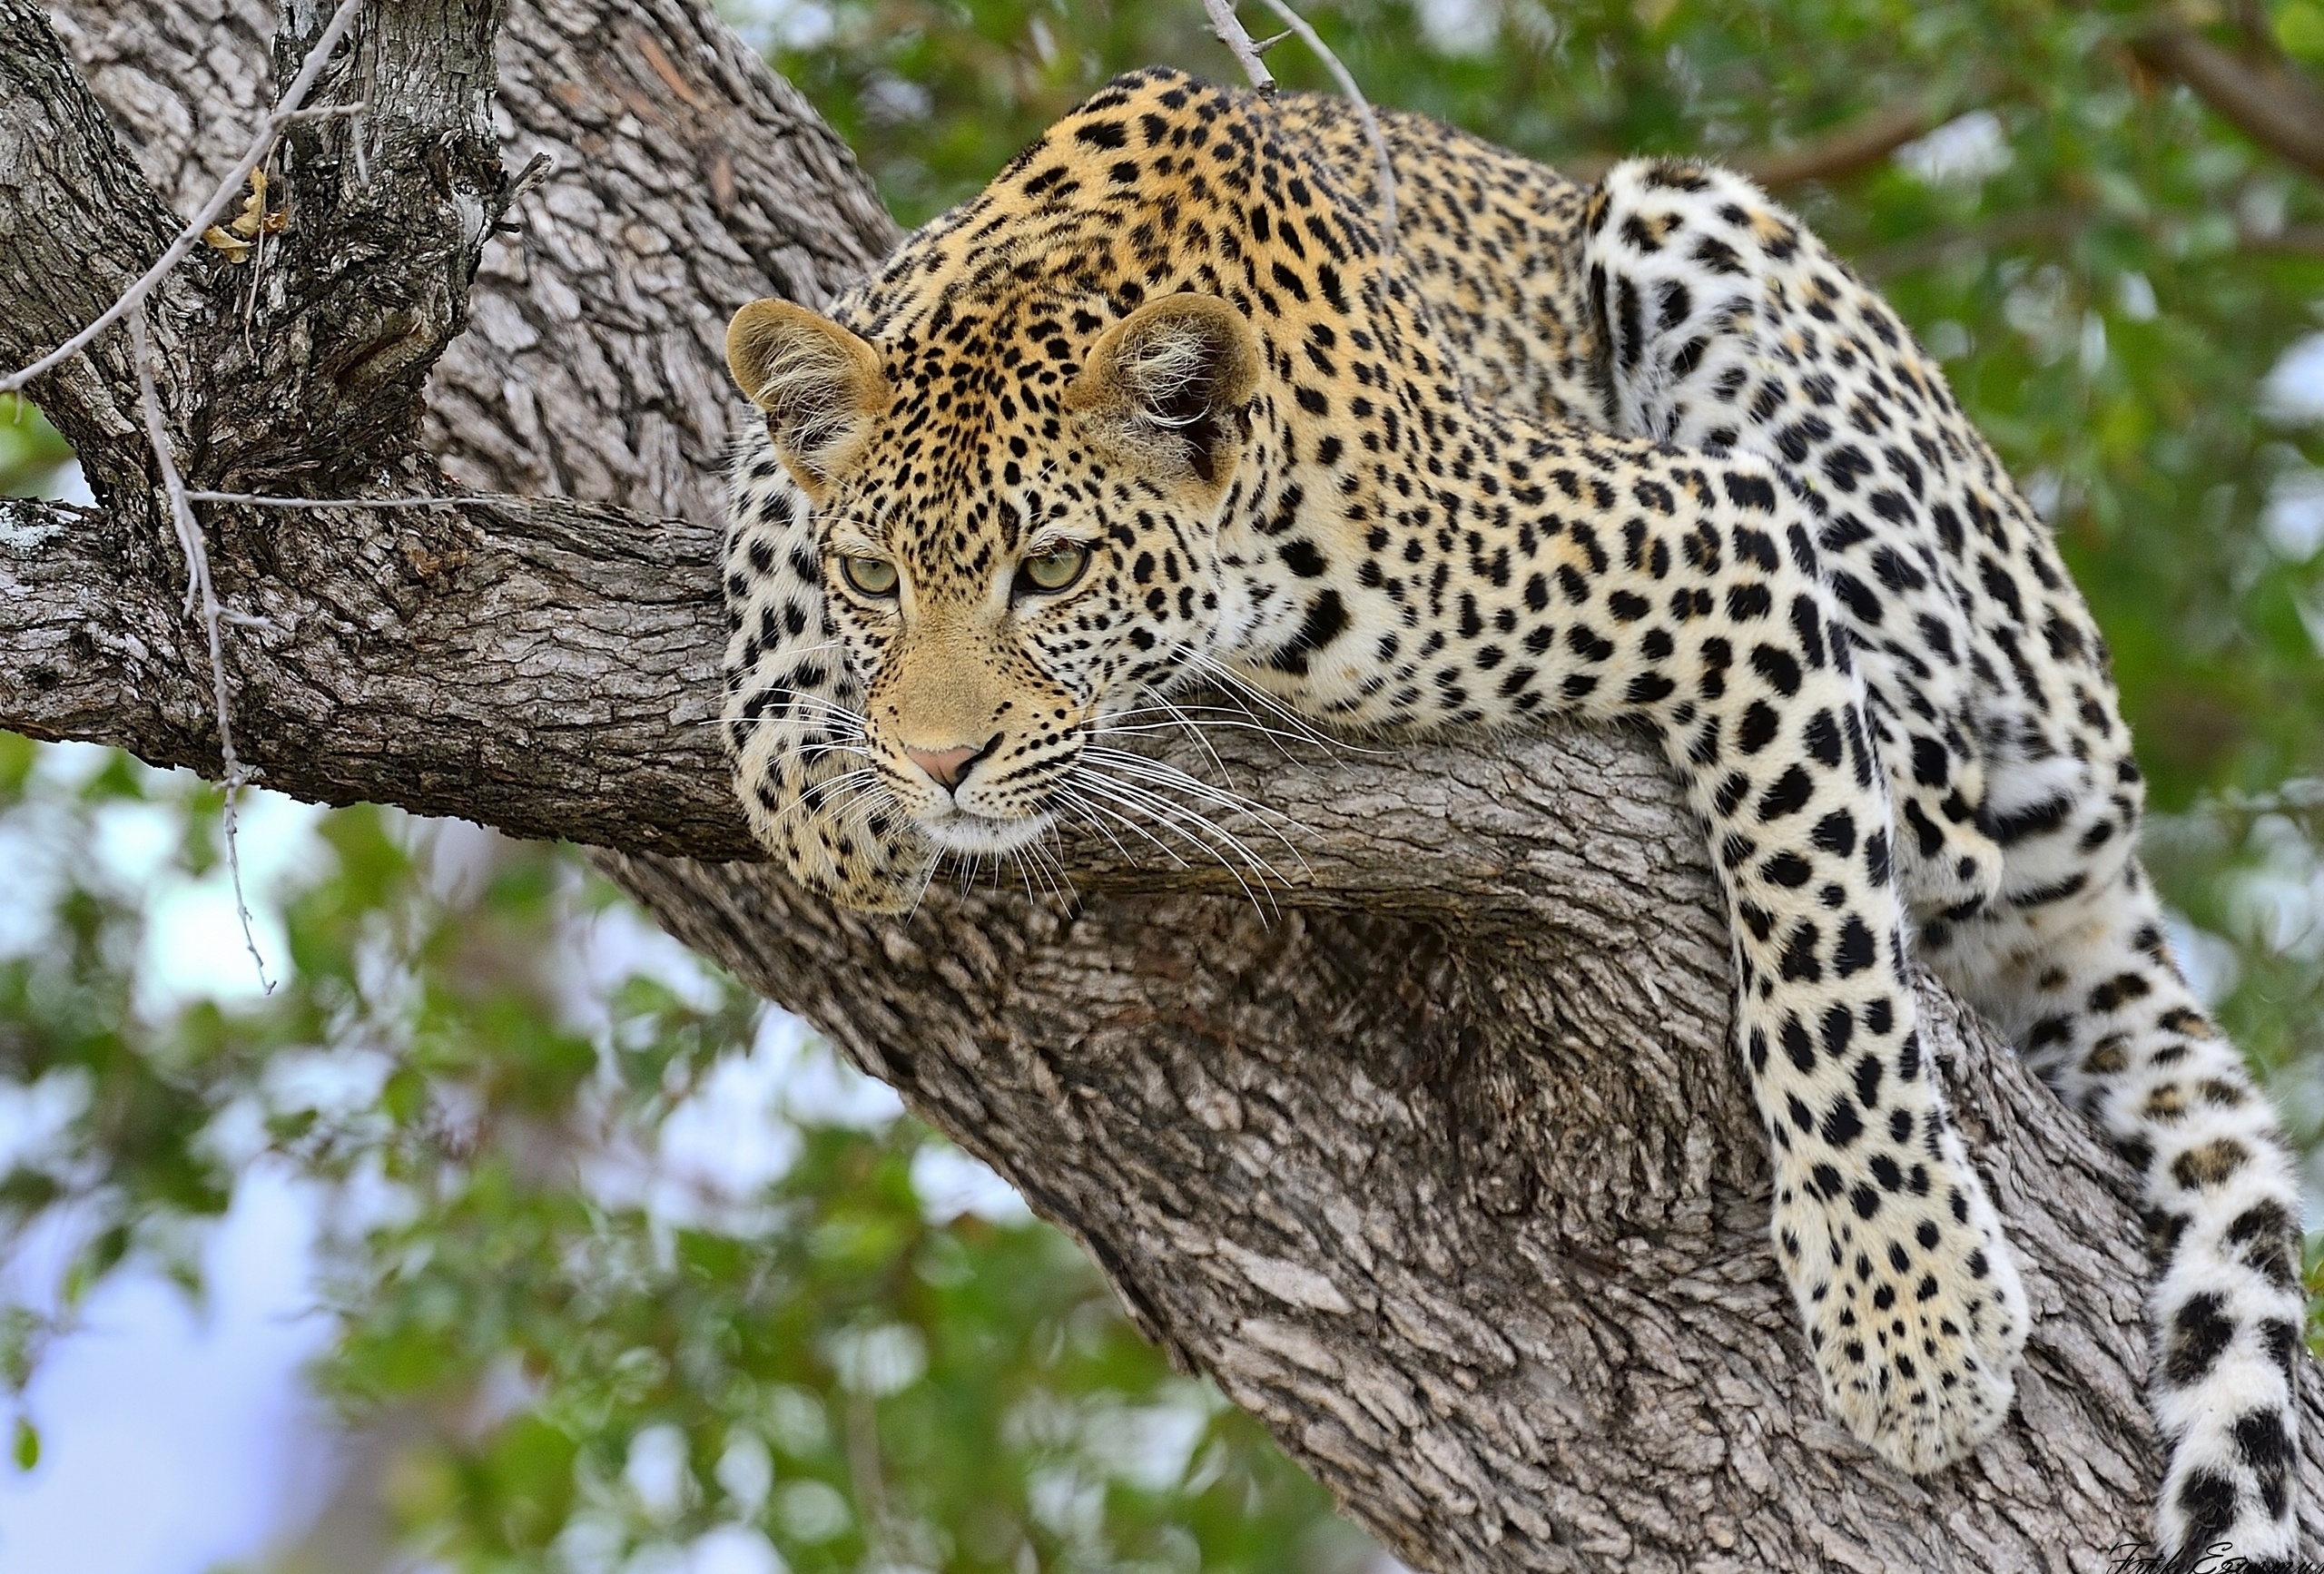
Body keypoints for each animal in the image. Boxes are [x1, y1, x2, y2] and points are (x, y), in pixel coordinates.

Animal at [715, 67, 2306, 1568]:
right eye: (875, 575)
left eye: (1051, 569)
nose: (939, 762)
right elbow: (761, 525)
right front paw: (816, 774)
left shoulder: (1720, 539)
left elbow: (1827, 960)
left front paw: (1909, 1307)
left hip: (1710, 252)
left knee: (1948, 801)